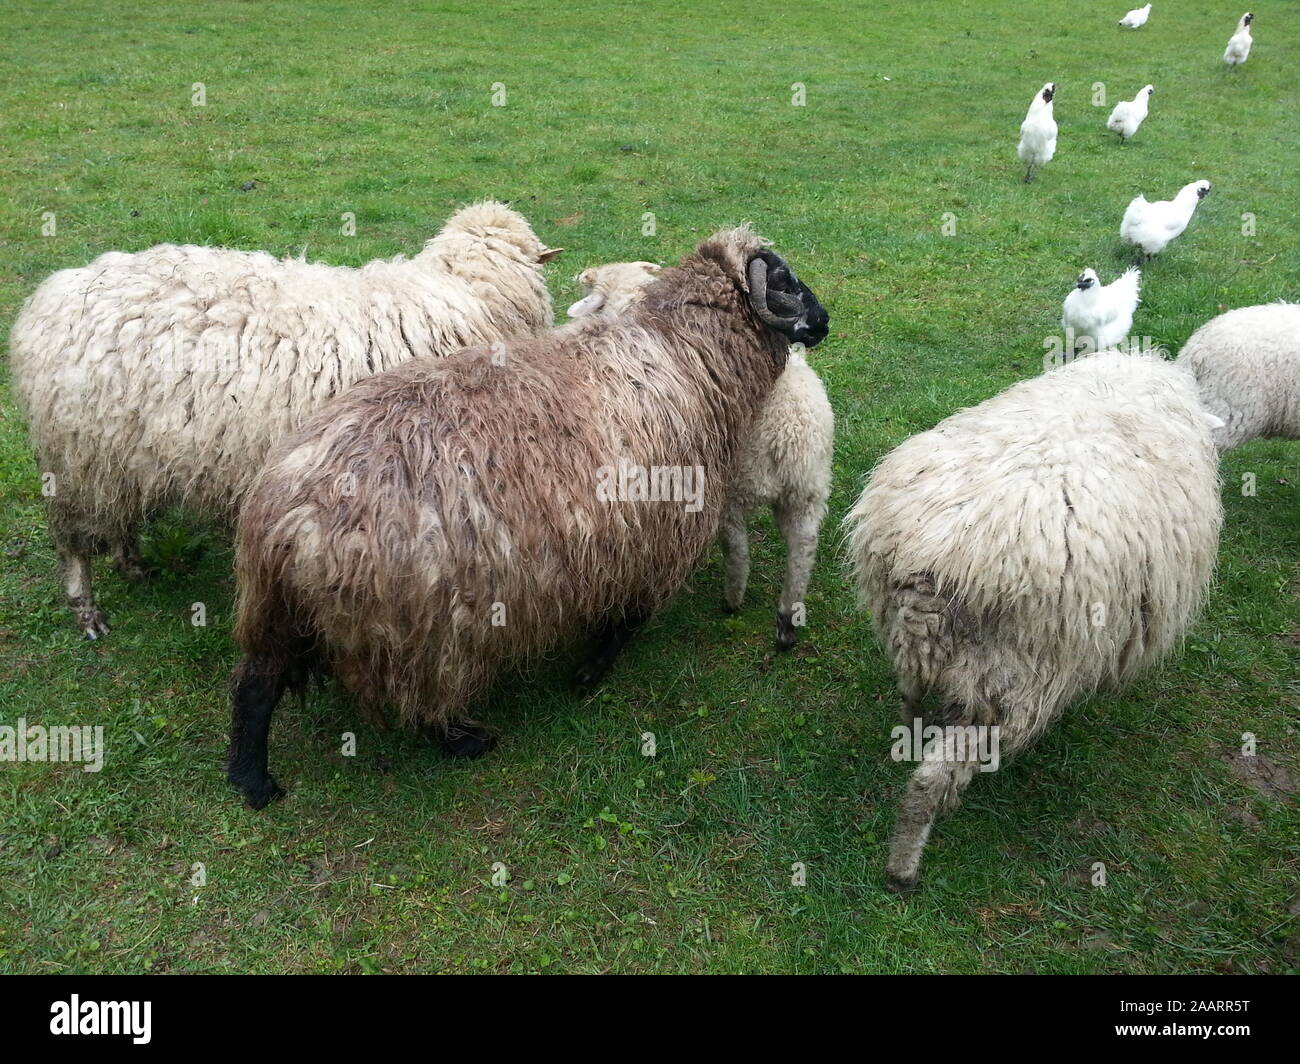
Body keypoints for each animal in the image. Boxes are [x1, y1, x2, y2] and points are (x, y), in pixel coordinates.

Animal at [8, 201, 561, 639]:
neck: (465, 296)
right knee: (71, 539)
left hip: (116, 453)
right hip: (75, 455)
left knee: (119, 513)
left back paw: (134, 565)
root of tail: (49, 300)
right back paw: (87, 610)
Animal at [567, 261, 835, 649]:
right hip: (809, 492)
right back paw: (787, 622)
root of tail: (791, 435)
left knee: (738, 551)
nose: (583, 274)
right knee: (802, 552)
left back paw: (732, 601)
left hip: (735, 489)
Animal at [844, 352, 1223, 893]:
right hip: (1011, 677)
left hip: (914, 645)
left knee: (911, 704)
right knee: (930, 779)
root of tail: (935, 560)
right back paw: (904, 866)